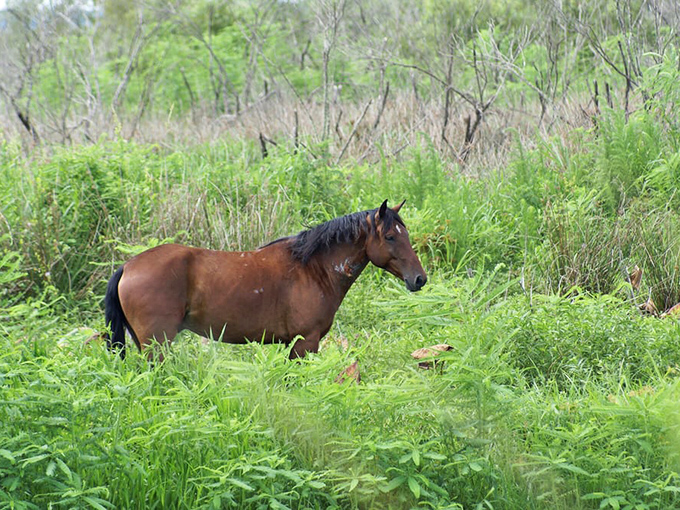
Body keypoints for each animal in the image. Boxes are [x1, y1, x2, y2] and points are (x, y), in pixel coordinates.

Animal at [104, 200, 427, 360]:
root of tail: (128, 266)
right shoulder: (305, 343)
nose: (419, 279)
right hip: (157, 344)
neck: (313, 269)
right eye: (390, 237)